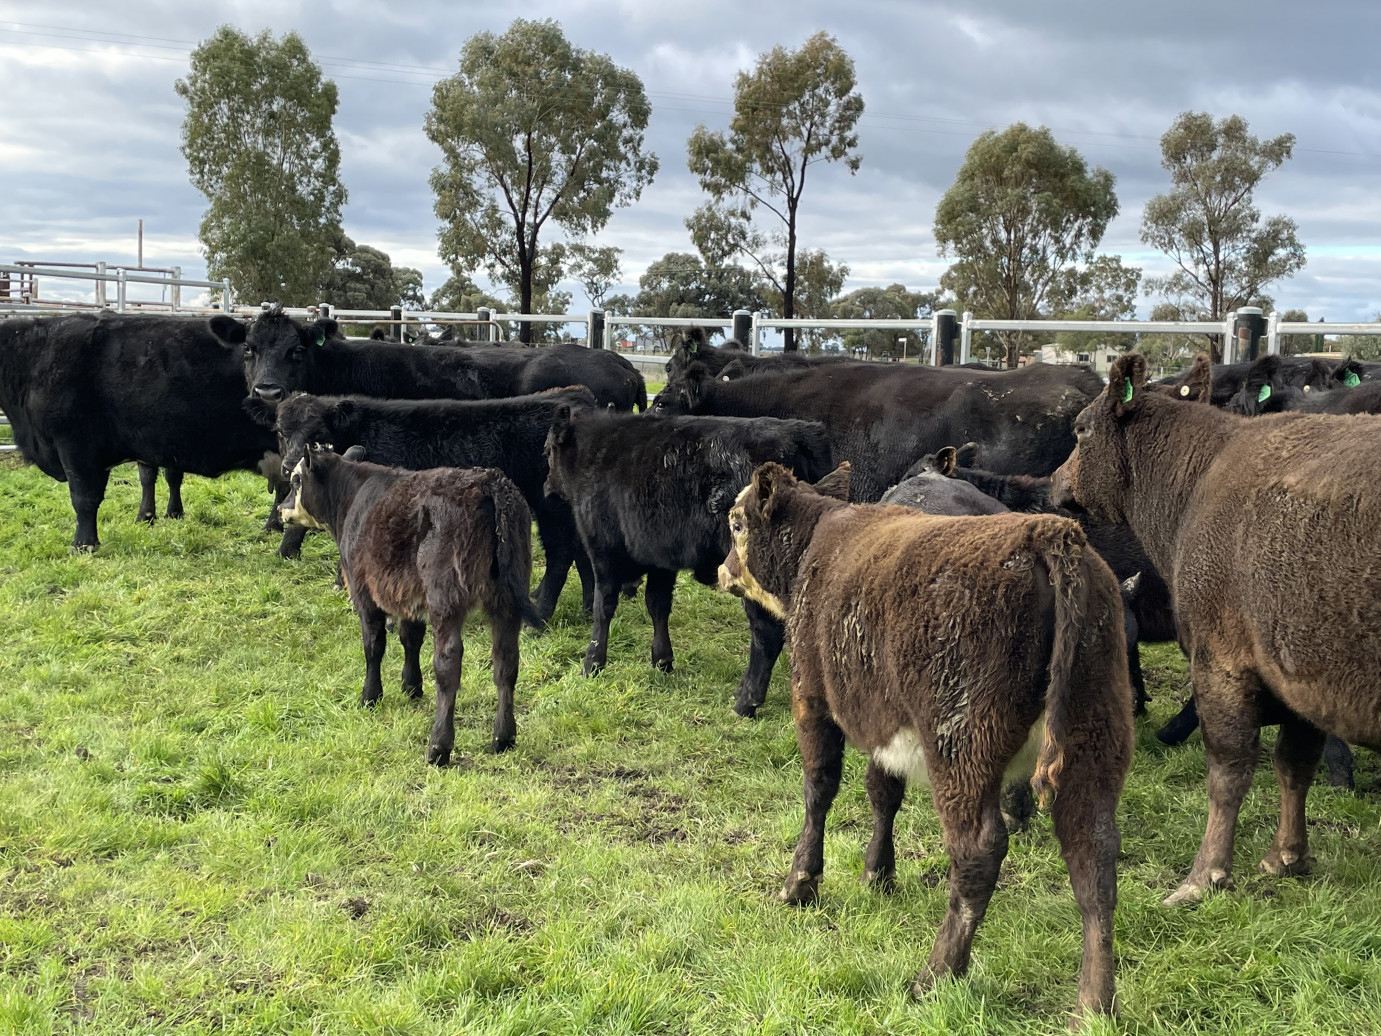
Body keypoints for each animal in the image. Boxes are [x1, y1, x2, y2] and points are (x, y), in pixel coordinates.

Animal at [263, 387, 599, 624]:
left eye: (319, 433)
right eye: (280, 432)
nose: (289, 466)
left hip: (551, 508)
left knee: (561, 554)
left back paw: (541, 614)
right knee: (583, 553)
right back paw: (584, 608)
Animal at [281, 445, 540, 764]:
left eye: (295, 480)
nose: (281, 509)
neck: (351, 499)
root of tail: (490, 480)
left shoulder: (363, 592)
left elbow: (374, 645)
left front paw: (370, 696)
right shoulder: (408, 593)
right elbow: (411, 638)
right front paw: (411, 686)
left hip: (446, 598)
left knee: (449, 662)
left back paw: (439, 747)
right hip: (507, 597)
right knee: (506, 661)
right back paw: (502, 738)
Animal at [542, 408, 833, 714]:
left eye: (547, 452)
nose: (545, 485)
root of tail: (798, 432)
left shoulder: (603, 552)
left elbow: (603, 608)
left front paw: (592, 663)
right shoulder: (659, 559)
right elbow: (657, 604)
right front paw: (662, 661)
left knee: (766, 633)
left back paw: (745, 702)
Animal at [717, 462, 1133, 1018]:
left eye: (737, 523)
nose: (722, 571)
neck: (817, 545)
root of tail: (1048, 532)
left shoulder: (813, 697)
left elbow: (818, 789)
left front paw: (800, 884)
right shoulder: (884, 720)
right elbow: (883, 792)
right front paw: (878, 874)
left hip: (961, 746)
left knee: (978, 852)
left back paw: (936, 974)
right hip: (1093, 738)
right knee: (1094, 857)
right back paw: (1094, 1001)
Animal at [1051, 352, 1381, 906]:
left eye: (1080, 429)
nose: (1055, 481)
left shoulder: (1222, 660)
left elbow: (1228, 771)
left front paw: (1204, 874)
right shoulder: (1299, 677)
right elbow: (1295, 764)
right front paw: (1288, 855)